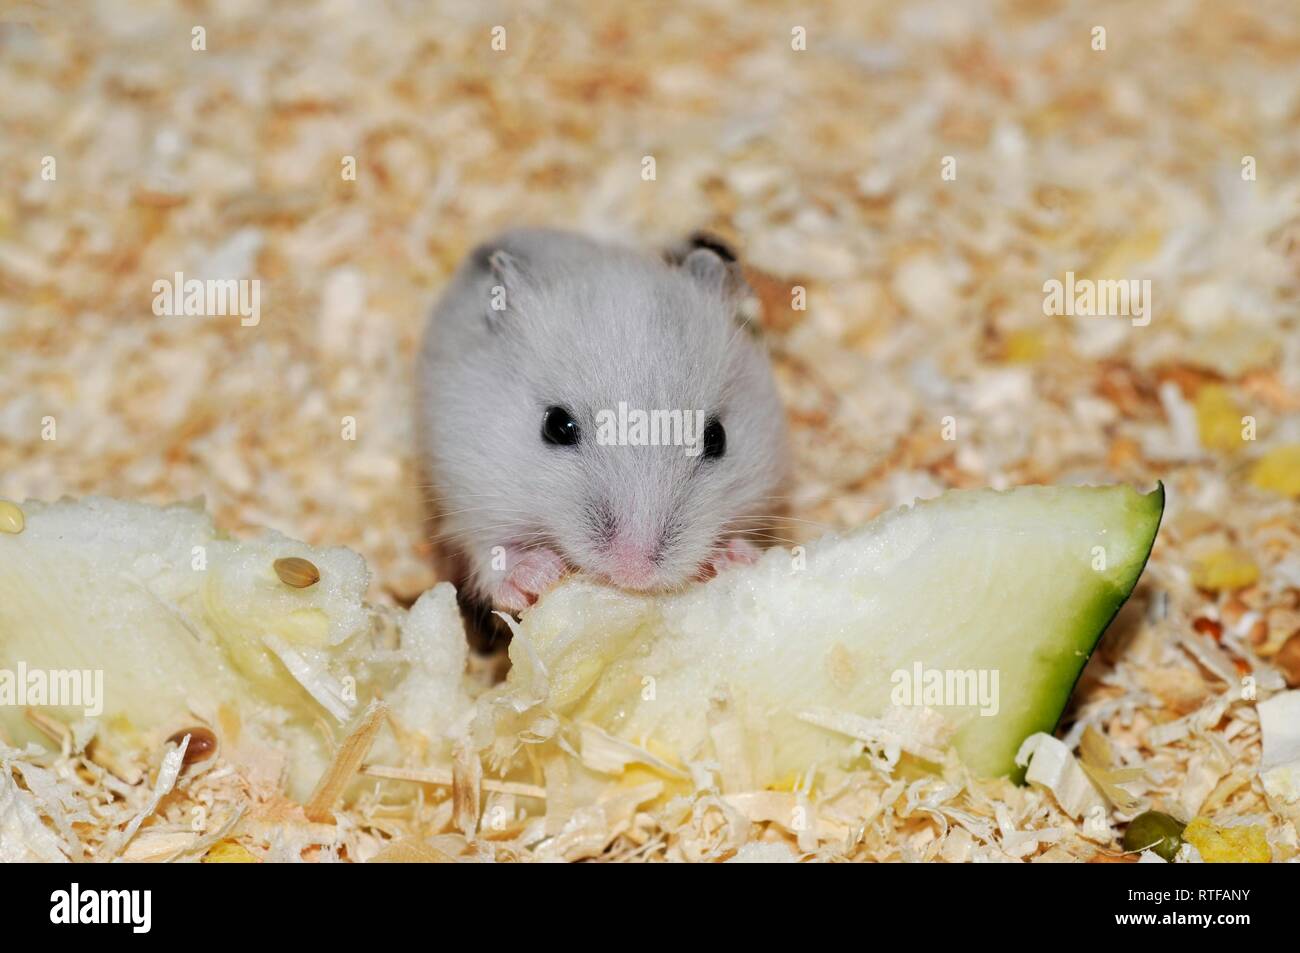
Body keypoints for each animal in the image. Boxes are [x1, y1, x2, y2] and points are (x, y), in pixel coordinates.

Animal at [417, 228, 788, 614]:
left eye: (716, 437)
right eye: (556, 426)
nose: (633, 573)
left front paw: (736, 558)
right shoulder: (471, 490)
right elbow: (493, 552)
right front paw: (535, 576)